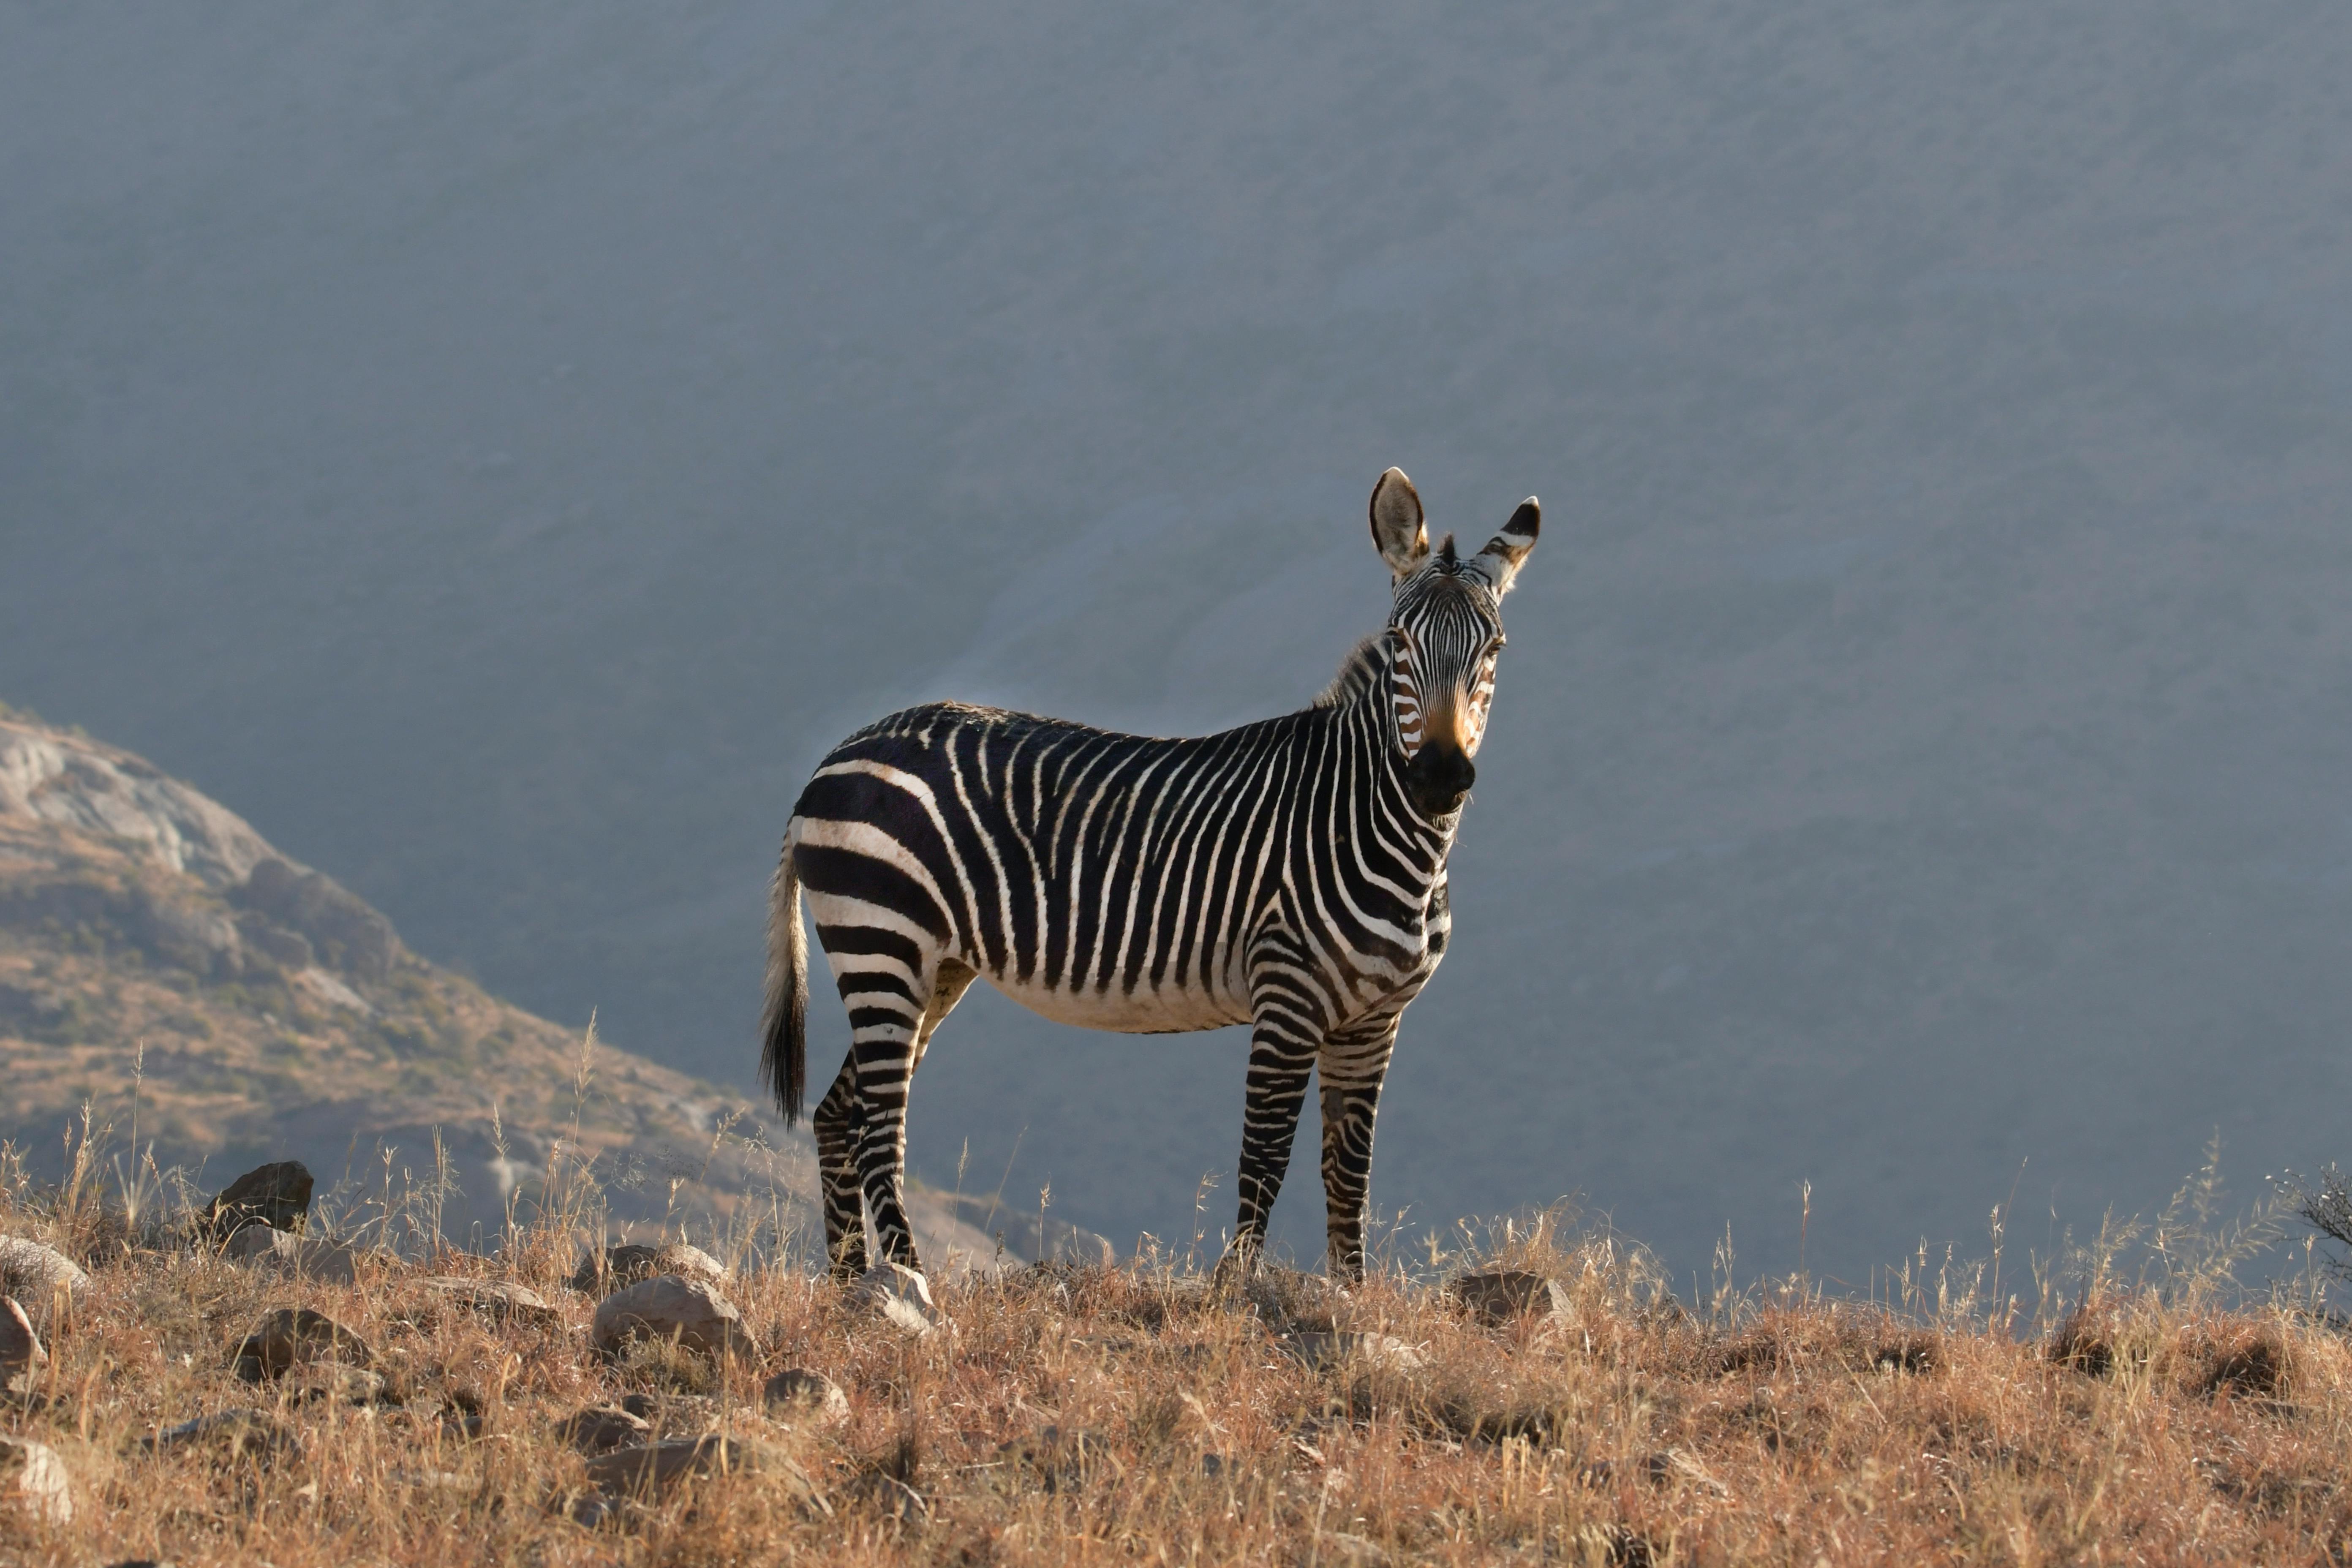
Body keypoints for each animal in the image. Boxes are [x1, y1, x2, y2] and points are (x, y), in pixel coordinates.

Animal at [761, 467, 1539, 1285]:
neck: (1379, 829)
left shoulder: (1375, 1020)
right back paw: (911, 1283)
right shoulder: (1287, 997)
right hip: (882, 941)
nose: (1440, 778)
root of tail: (833, 757)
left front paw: (1350, 1295)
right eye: (1398, 642)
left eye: (1494, 646)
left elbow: (1348, 1170)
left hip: (930, 967)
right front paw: (1238, 1290)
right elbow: (1265, 1157)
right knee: (878, 1123)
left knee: (838, 1113)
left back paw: (856, 1285)